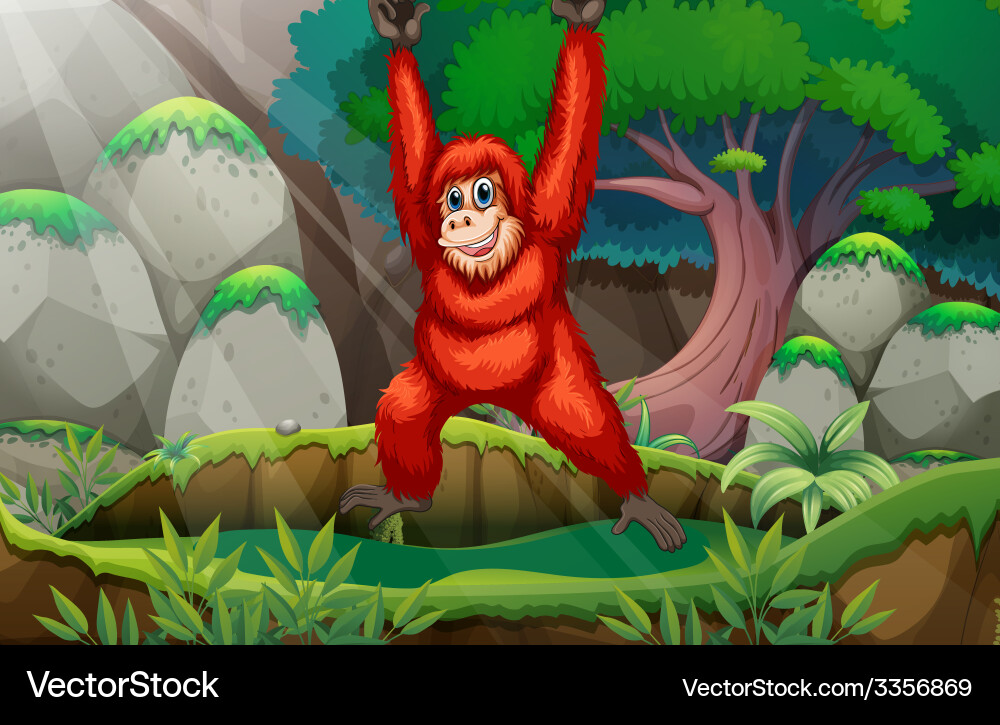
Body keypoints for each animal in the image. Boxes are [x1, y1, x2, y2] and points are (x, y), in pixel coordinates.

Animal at [339, 0, 686, 552]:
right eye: (451, 198)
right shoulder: (425, 233)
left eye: (482, 193)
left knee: (586, 423)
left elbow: (568, 149)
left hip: (549, 383)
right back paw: (406, 498)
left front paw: (580, 21)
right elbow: (415, 165)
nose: (460, 218)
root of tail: (496, 400)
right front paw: (399, 35)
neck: (487, 269)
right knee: (403, 413)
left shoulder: (547, 223)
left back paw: (636, 498)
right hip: (440, 384)